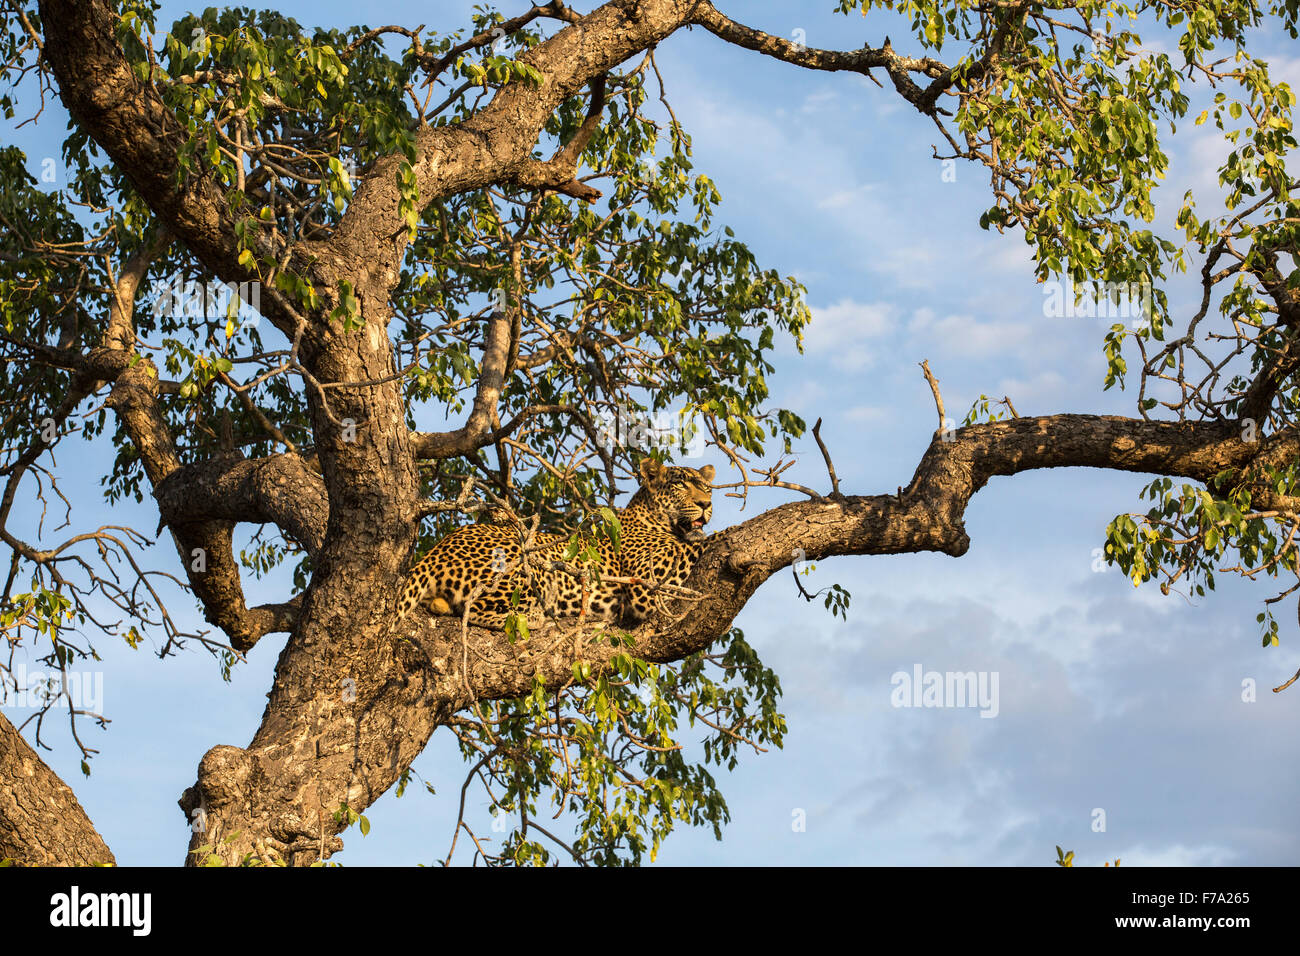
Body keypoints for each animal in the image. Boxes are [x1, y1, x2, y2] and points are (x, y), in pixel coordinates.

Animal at [396, 460, 715, 630]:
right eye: (679, 485)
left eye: (706, 487)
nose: (706, 504)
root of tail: (436, 551)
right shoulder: (647, 584)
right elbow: (701, 543)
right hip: (526, 567)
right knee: (472, 608)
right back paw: (534, 616)